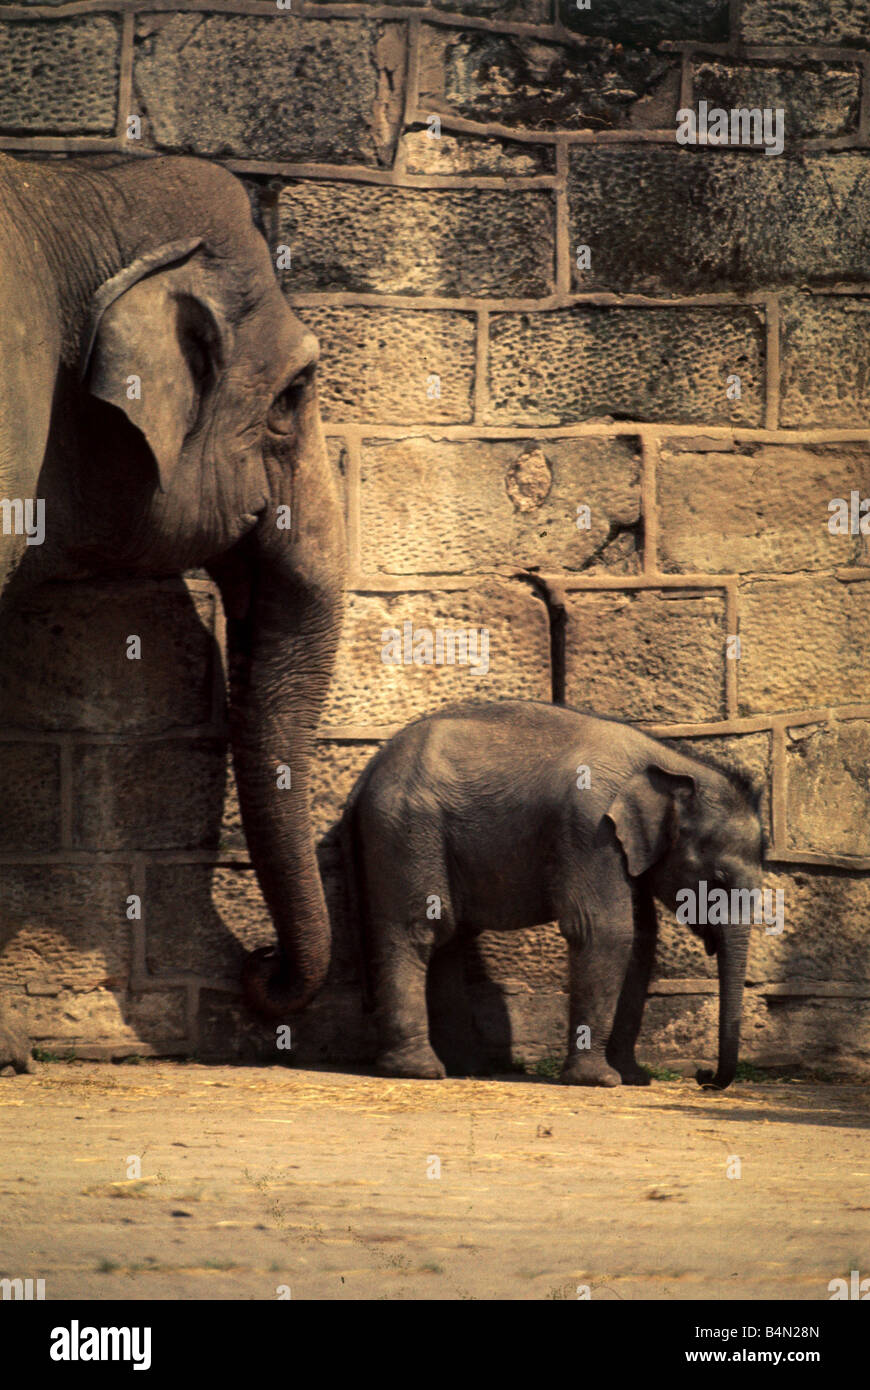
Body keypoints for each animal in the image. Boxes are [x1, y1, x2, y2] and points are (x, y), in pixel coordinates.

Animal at [342, 699, 764, 1090]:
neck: (669, 761)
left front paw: (632, 1077)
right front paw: (599, 1080)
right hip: (408, 828)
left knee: (448, 938)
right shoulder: (589, 827)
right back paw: (419, 1070)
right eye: (718, 879)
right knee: (421, 928)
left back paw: (467, 1068)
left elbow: (641, 940)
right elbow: (605, 931)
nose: (704, 1077)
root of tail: (369, 770)